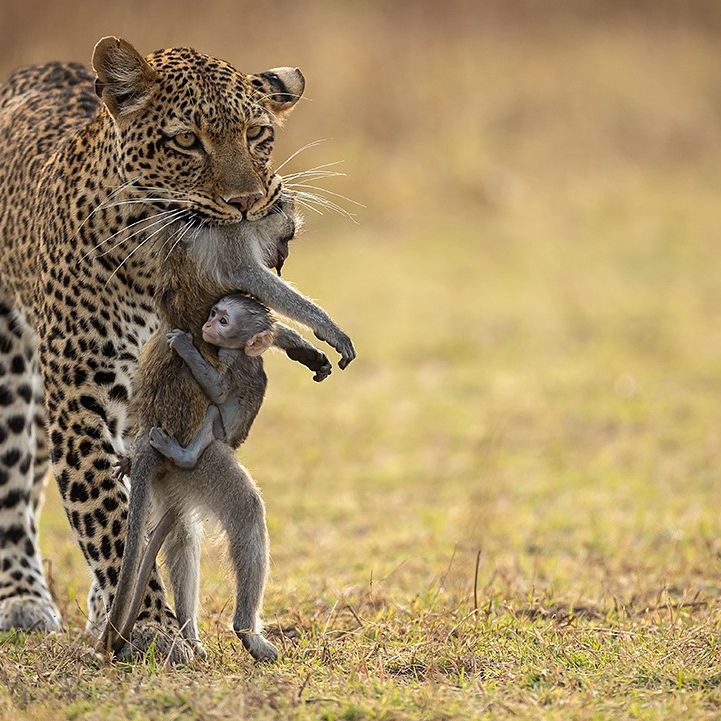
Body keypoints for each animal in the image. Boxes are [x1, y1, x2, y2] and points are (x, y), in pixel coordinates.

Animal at [98, 196, 356, 662]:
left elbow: (264, 322)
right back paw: (246, 631)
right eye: (287, 235)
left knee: (182, 534)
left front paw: (301, 346)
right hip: (202, 460)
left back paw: (189, 635)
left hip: (171, 477)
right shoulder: (231, 249)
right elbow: (253, 285)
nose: (282, 260)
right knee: (243, 510)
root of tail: (148, 444)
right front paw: (322, 328)